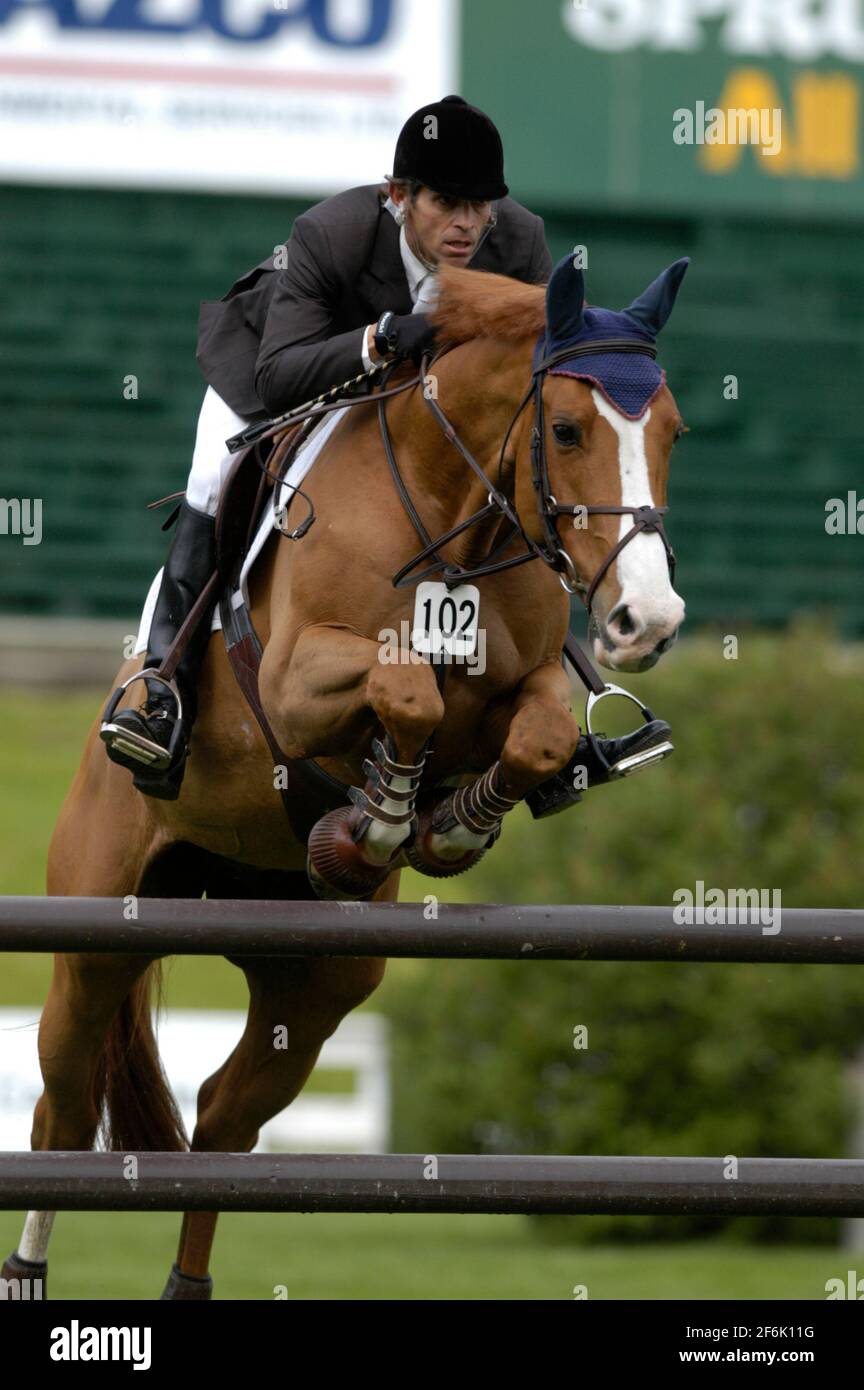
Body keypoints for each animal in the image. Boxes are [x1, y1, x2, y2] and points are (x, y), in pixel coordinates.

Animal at [2, 251, 688, 1299]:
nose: (646, 622)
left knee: (225, 1117)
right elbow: (405, 691)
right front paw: (382, 818)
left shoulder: (522, 689)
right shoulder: (294, 685)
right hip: (97, 935)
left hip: (317, 981)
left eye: (672, 432)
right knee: (66, 1108)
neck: (453, 520)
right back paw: (28, 1270)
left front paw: (443, 823)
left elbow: (534, 735)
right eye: (568, 429)